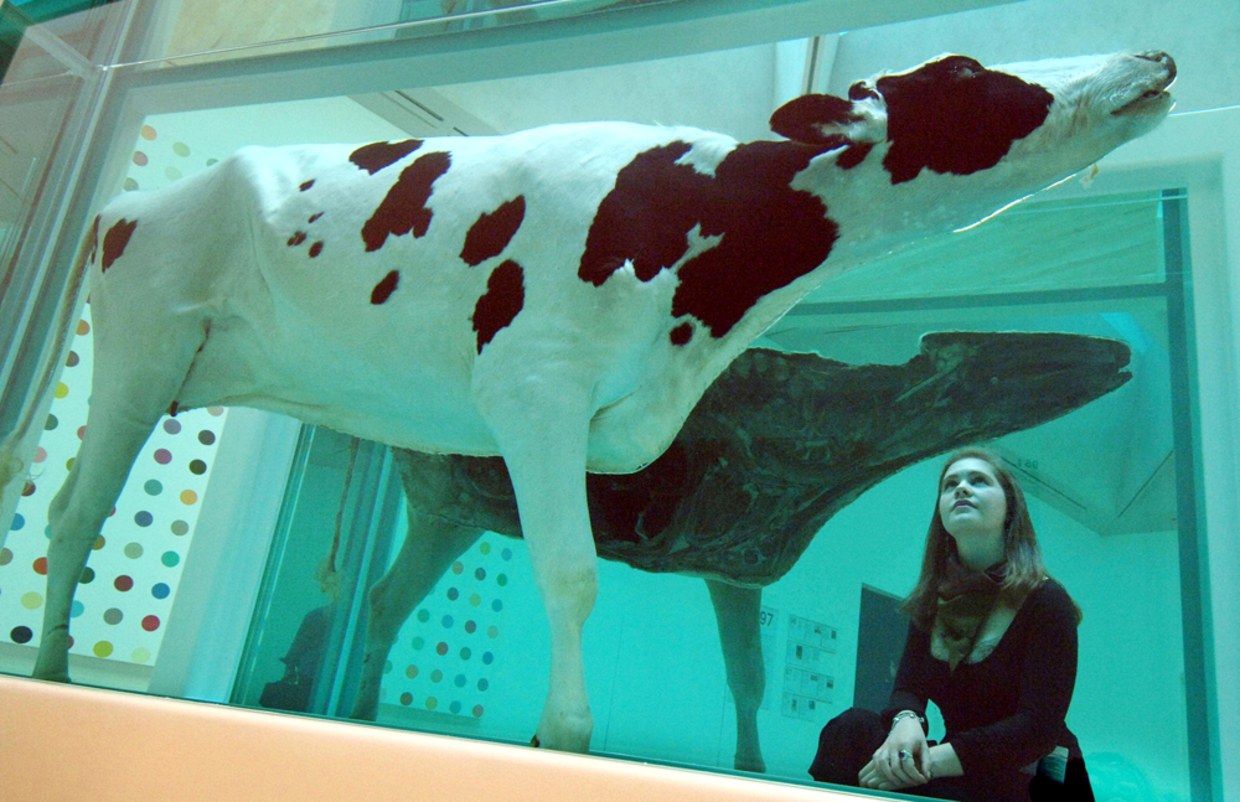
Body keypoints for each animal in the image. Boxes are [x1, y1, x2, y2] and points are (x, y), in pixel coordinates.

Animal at [341, 331, 1132, 771]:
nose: (1117, 357)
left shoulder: (735, 564)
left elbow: (748, 679)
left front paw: (748, 764)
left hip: (454, 506)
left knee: (386, 596)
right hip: (448, 499)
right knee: (388, 599)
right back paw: (362, 708)